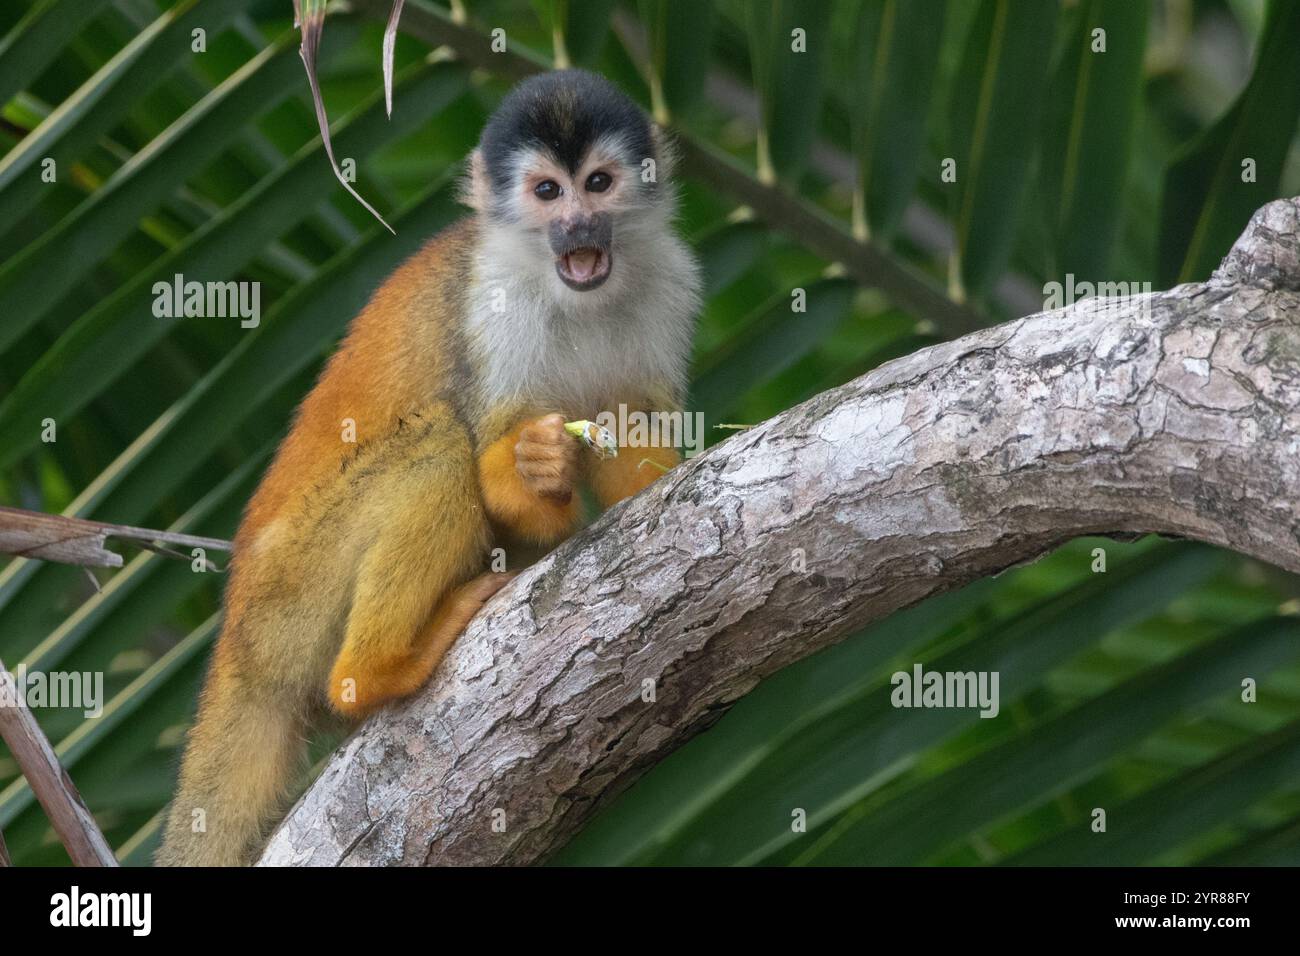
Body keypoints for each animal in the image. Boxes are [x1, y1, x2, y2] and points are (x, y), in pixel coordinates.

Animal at [156, 69, 700, 866]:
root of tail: (238, 641)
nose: (577, 226)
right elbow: (494, 463)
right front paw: (535, 466)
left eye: (597, 184)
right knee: (439, 444)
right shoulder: (493, 302)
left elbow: (633, 443)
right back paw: (376, 671)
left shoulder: (668, 279)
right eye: (547, 192)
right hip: (293, 590)